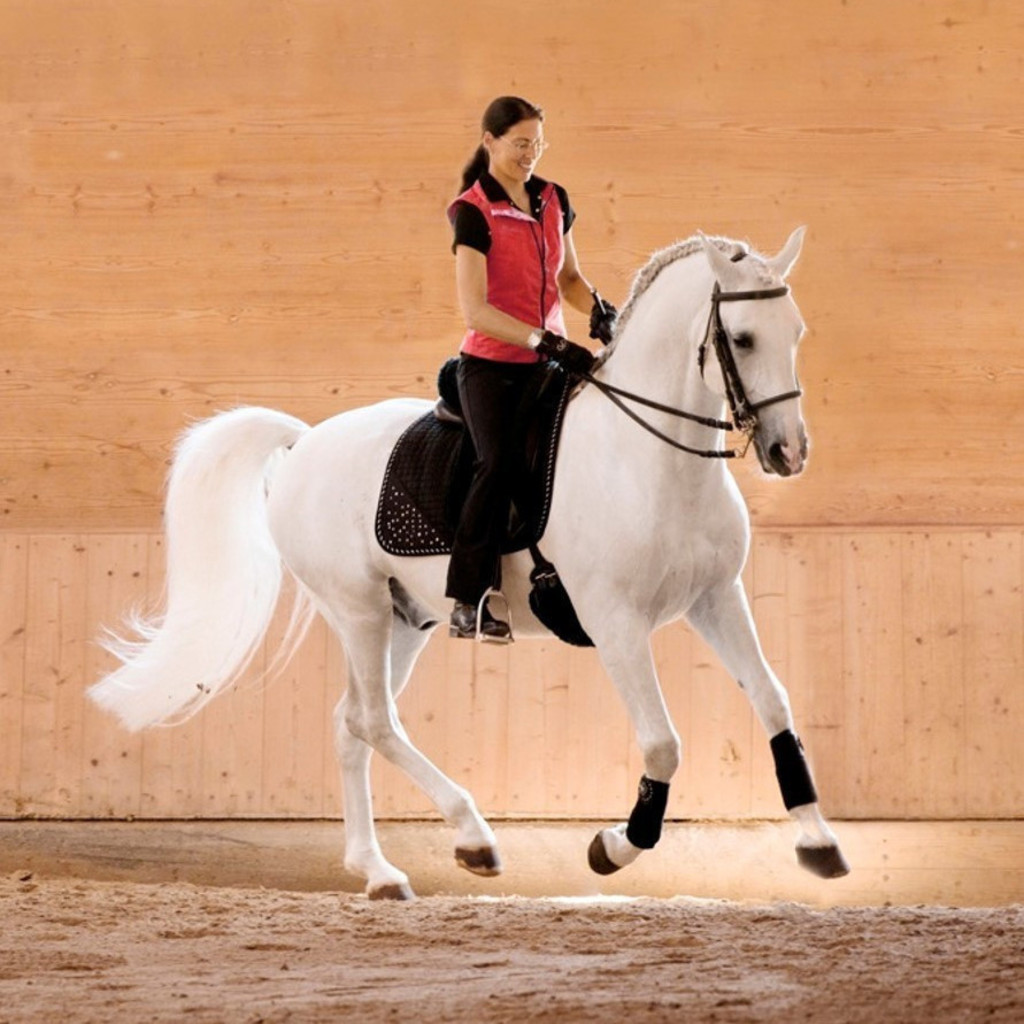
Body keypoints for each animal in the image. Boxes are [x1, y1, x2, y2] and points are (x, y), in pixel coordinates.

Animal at [89, 227, 850, 899]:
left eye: (798, 332)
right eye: (742, 339)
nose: (788, 452)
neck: (651, 456)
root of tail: (304, 443)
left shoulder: (717, 597)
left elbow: (774, 702)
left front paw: (818, 842)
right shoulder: (616, 623)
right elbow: (663, 743)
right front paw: (613, 846)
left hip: (407, 618)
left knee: (349, 721)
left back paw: (378, 871)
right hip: (358, 609)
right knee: (374, 721)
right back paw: (473, 836)